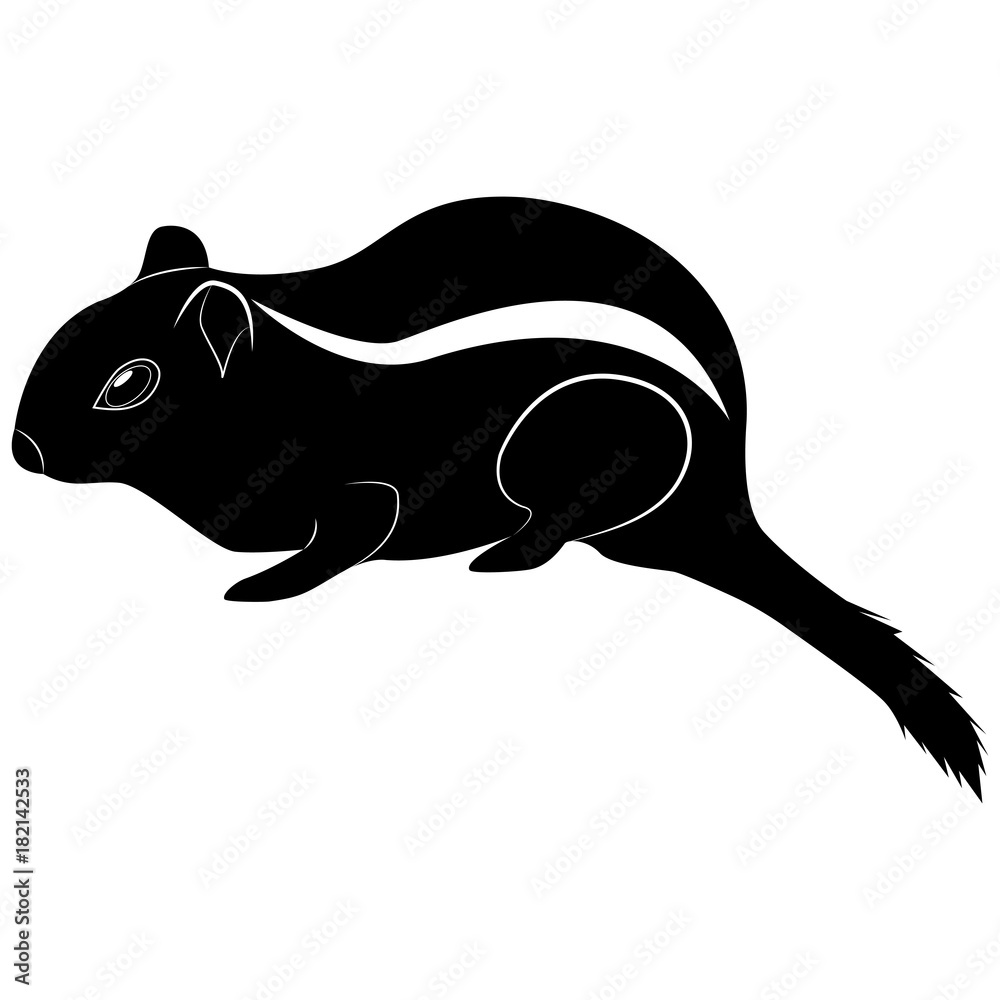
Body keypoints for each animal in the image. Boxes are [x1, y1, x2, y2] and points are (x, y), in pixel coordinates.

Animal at [12, 196, 984, 796]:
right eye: (63, 332)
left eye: (129, 383)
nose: (21, 448)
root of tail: (730, 495)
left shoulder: (368, 492)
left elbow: (351, 535)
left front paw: (264, 586)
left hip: (576, 442)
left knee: (559, 521)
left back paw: (507, 552)